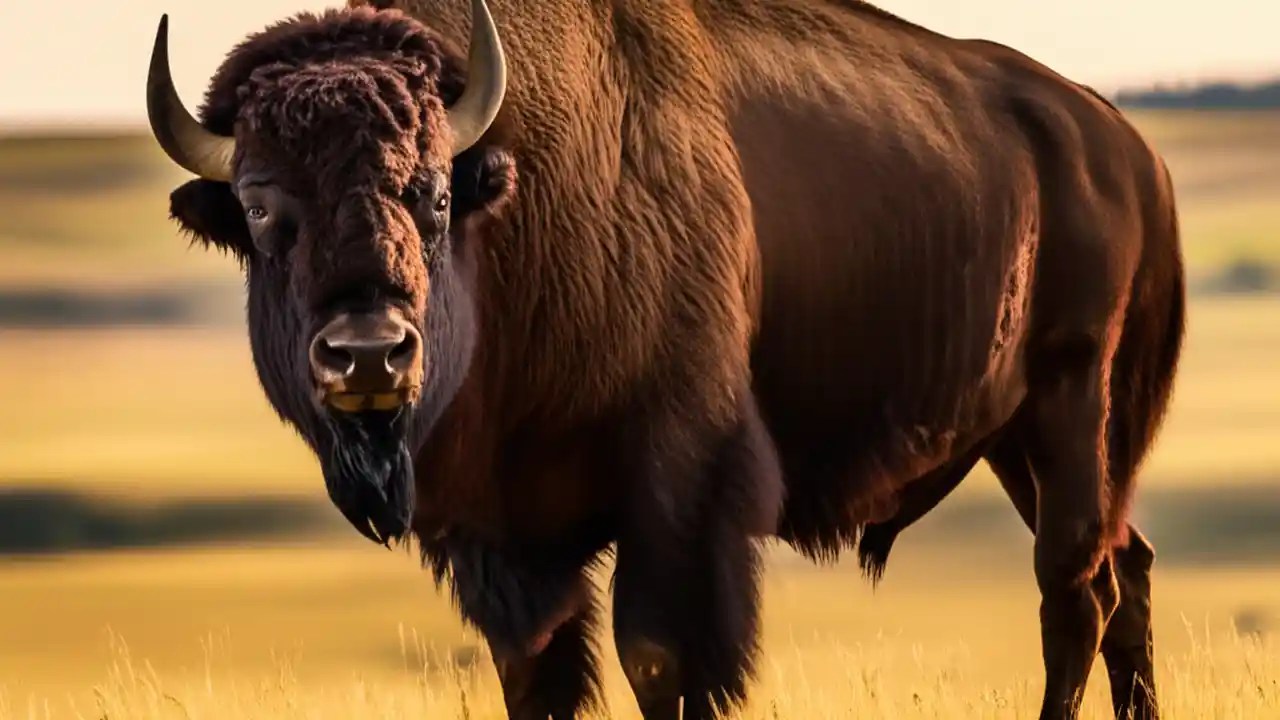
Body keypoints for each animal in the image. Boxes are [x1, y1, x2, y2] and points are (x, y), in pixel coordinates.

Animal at [145, 1, 1184, 718]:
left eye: (435, 193)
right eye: (261, 208)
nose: (370, 357)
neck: (518, 205)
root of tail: (1124, 147)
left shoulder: (681, 489)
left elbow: (660, 660)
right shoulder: (501, 534)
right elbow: (538, 674)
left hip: (1072, 409)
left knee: (1074, 589)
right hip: (1019, 442)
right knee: (1124, 570)